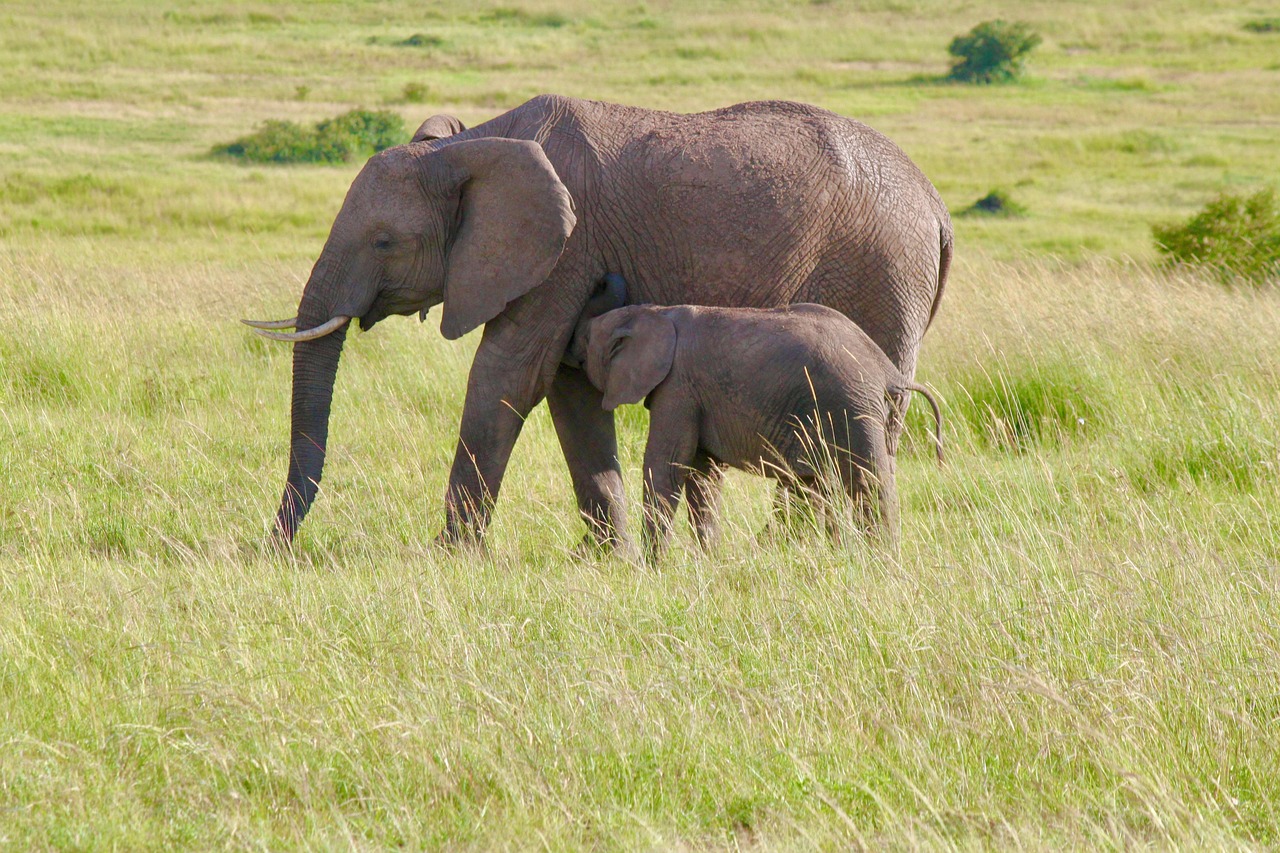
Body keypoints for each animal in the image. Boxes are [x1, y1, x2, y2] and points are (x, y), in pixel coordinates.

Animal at [575, 302, 945, 560]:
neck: (652, 312)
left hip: (852, 403)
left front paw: (652, 567)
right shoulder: (697, 395)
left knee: (867, 480)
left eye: (585, 342)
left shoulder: (678, 386)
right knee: (826, 483)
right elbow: (703, 474)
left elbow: (667, 465)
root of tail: (888, 372)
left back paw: (880, 559)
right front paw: (708, 560)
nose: (572, 343)